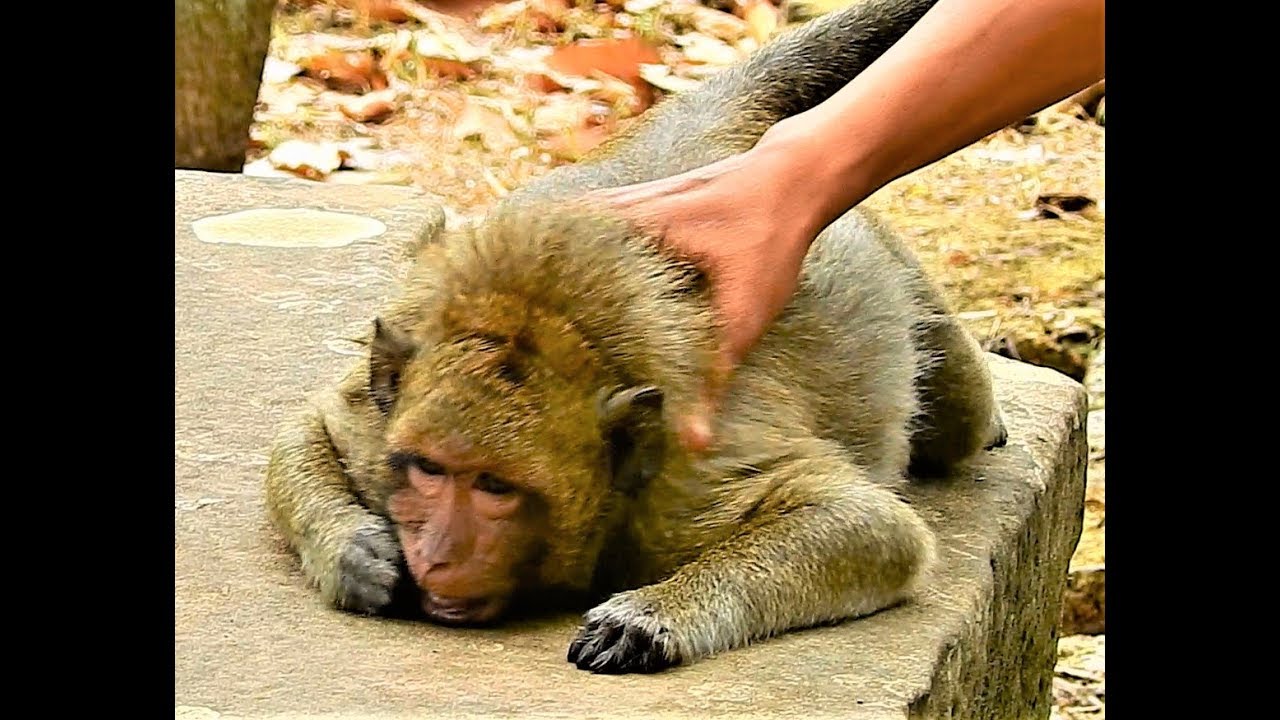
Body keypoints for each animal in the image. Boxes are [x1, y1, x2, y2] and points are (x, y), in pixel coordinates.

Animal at [264, 0, 1008, 674]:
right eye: (427, 469)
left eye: (495, 487)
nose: (441, 554)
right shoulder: (377, 422)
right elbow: (306, 432)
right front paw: (356, 550)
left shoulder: (685, 484)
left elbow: (871, 527)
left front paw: (653, 617)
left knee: (954, 415)